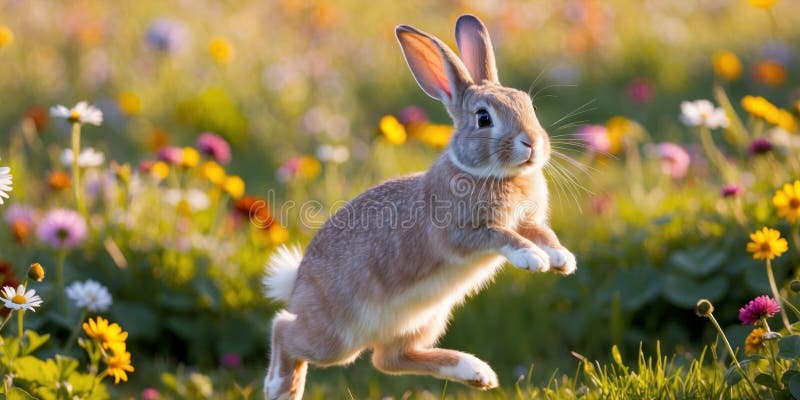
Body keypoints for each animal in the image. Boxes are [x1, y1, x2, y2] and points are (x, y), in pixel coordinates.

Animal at [263, 14, 576, 400]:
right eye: (483, 118)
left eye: (528, 105)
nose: (531, 143)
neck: (494, 174)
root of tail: (297, 284)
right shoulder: (462, 234)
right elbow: (503, 237)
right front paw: (533, 259)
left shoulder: (527, 221)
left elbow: (543, 233)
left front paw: (562, 260)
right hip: (335, 337)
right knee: (284, 330)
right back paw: (279, 388)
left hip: (423, 321)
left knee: (388, 360)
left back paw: (476, 372)